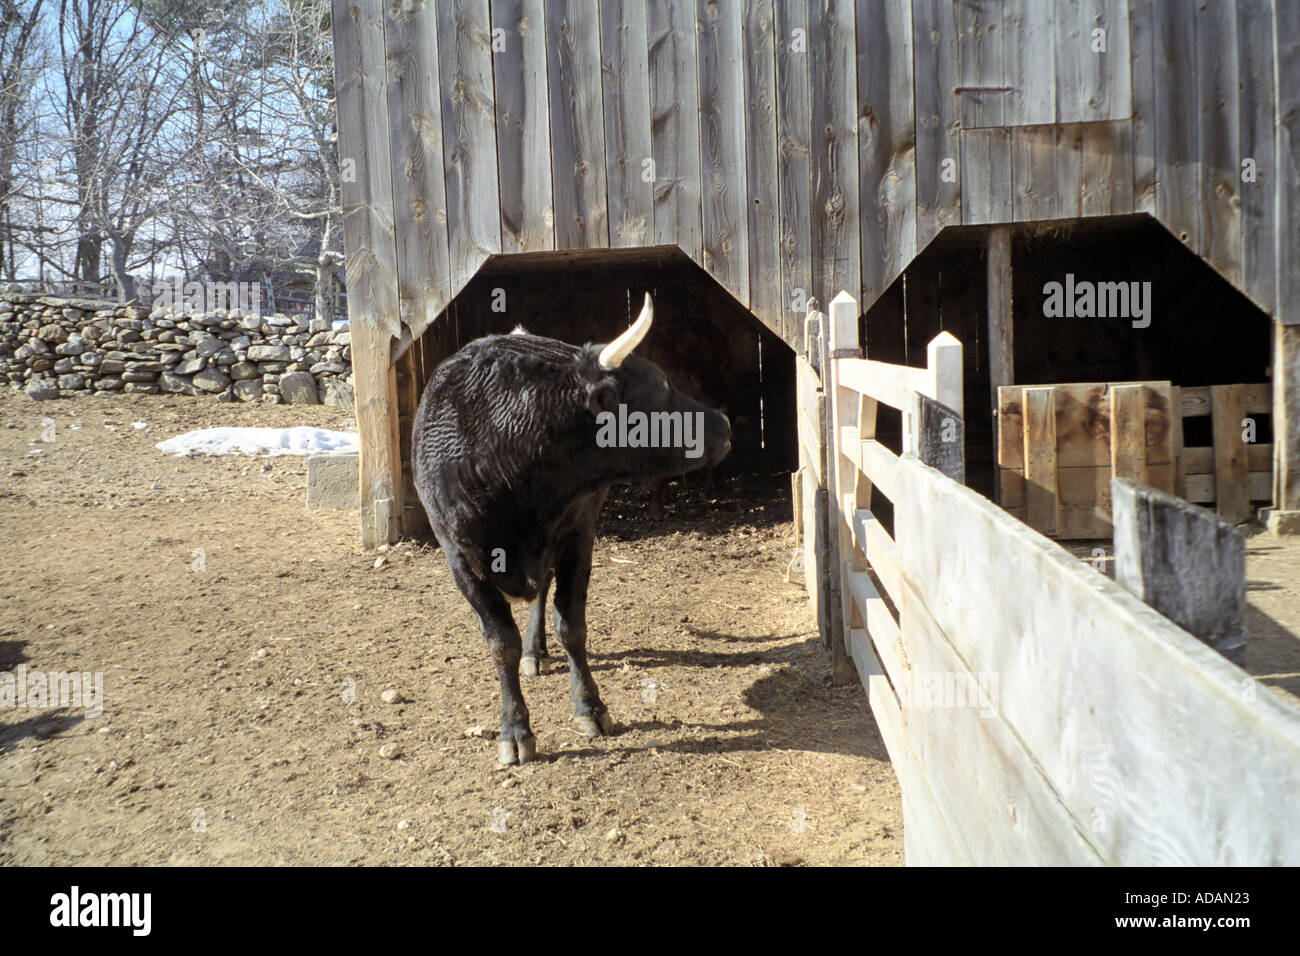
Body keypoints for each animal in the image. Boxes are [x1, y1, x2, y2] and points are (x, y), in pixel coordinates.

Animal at [412, 294, 732, 765]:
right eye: (661, 386)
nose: (724, 425)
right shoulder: (459, 559)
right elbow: (500, 644)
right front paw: (514, 729)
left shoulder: (577, 534)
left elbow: (571, 625)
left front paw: (590, 707)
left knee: (543, 591)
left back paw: (537, 649)